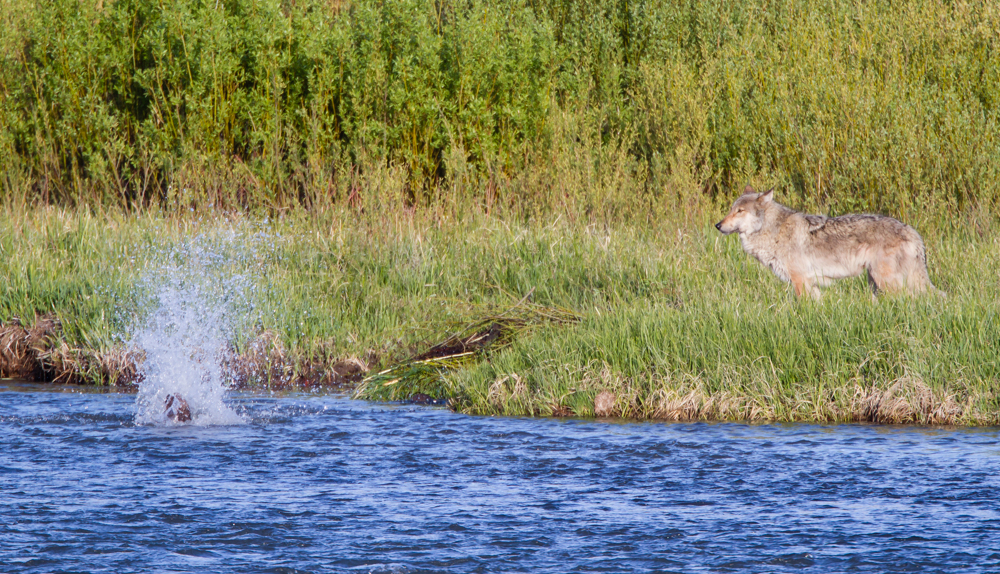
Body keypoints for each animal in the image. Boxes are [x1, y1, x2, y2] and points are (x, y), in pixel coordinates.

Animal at [715, 185, 938, 298]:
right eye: (730, 209)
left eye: (740, 211)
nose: (718, 225)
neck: (773, 232)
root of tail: (913, 232)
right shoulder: (810, 284)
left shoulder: (800, 281)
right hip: (875, 284)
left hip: (887, 282)